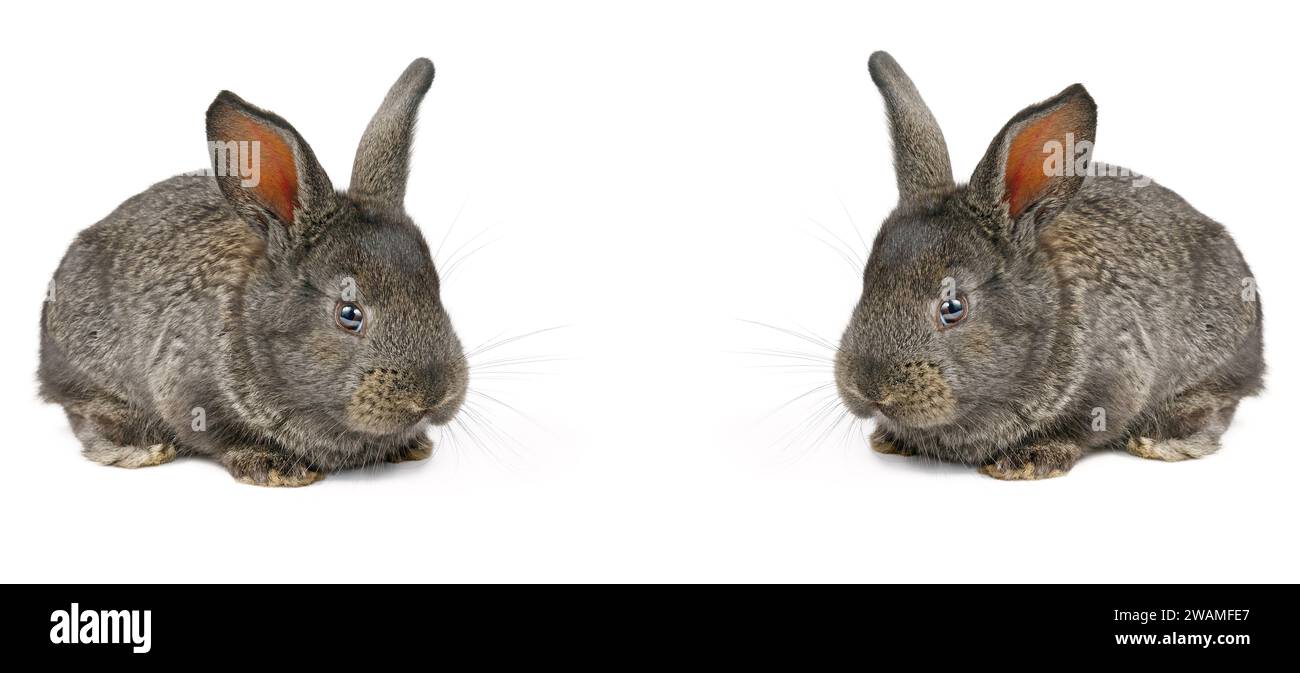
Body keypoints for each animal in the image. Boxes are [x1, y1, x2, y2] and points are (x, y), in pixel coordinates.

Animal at [38, 58, 468, 486]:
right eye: (349, 314)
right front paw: (276, 467)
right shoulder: (186, 390)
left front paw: (411, 446)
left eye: (436, 292)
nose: (433, 395)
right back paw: (140, 447)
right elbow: (222, 437)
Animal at [834, 52, 1264, 480]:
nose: (869, 388)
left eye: (952, 308)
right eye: (866, 284)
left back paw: (1162, 441)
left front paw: (1028, 460)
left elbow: (1078, 431)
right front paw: (891, 440)